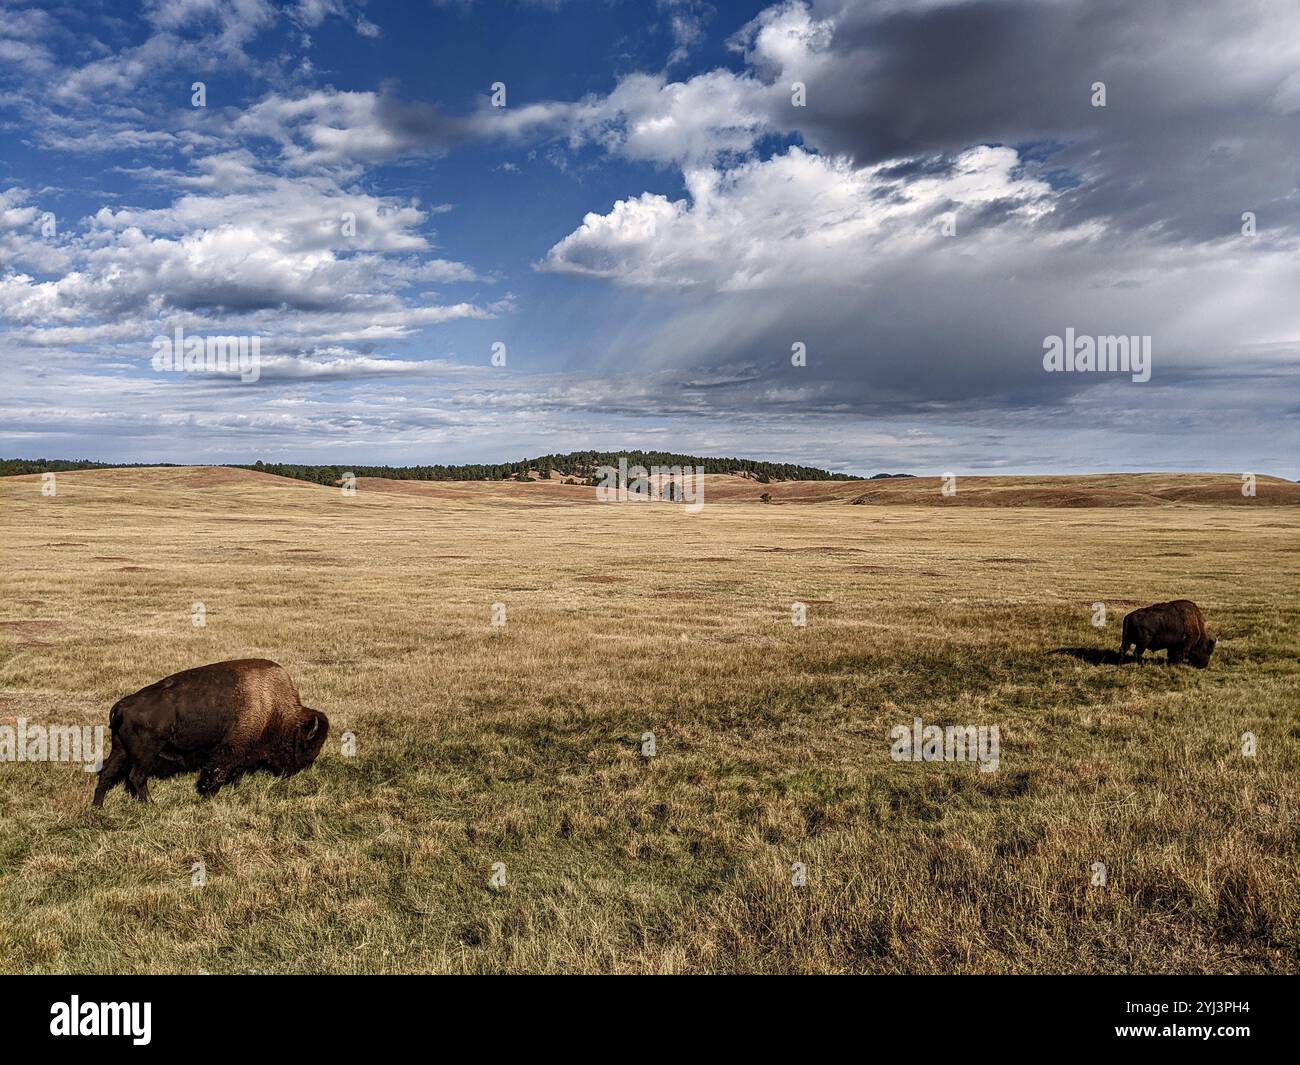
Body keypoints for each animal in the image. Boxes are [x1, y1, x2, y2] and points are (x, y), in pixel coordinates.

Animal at [93, 659, 328, 805]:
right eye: (305, 745)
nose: (292, 772)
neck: (274, 706)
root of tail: (122, 706)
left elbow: (236, 771)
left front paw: (234, 788)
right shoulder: (230, 748)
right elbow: (217, 771)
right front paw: (206, 795)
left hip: (120, 749)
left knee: (106, 774)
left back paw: (98, 806)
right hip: (146, 754)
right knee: (137, 777)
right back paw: (151, 804)